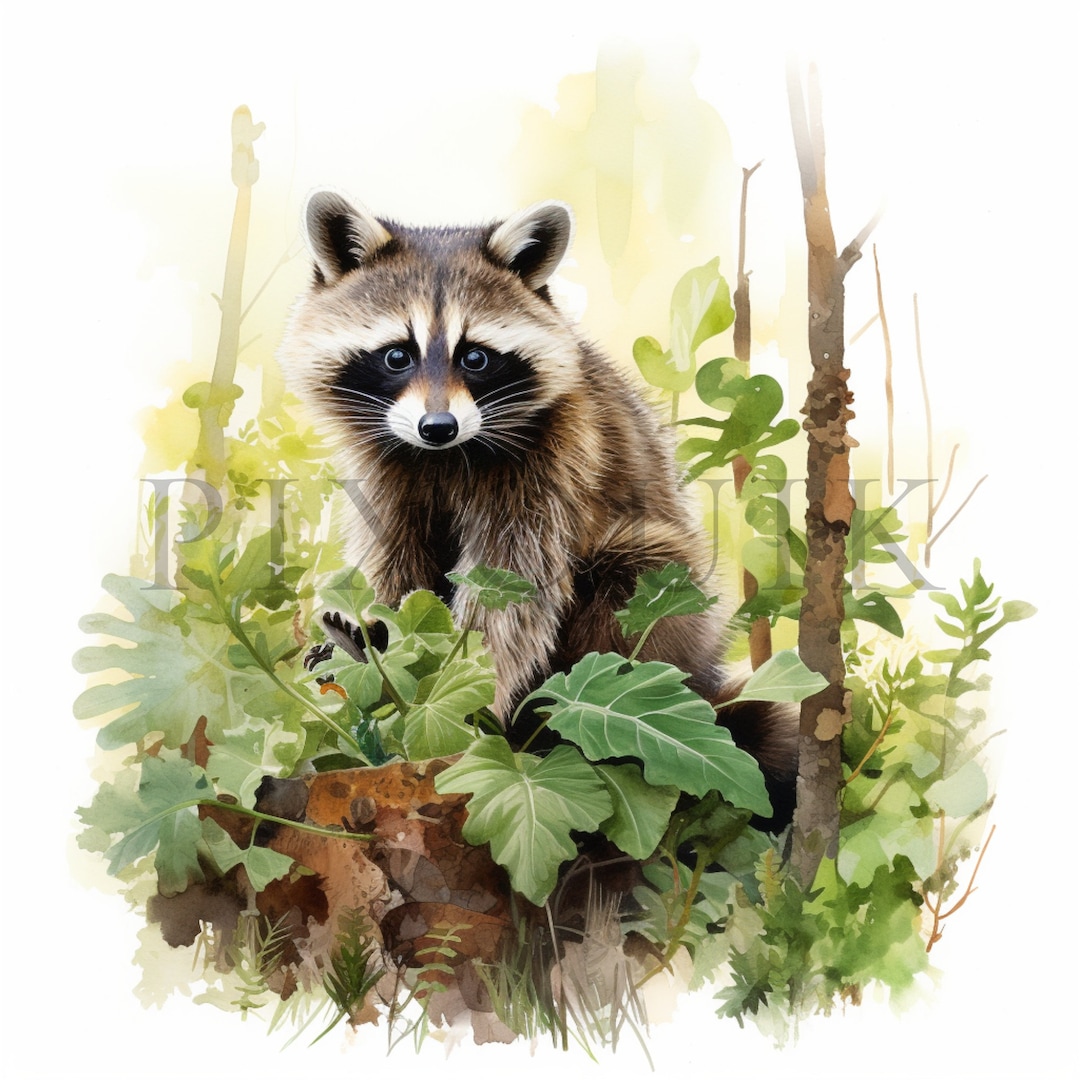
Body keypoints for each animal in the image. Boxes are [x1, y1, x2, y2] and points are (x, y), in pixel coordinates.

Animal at [278, 191, 796, 804]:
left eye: (475, 357)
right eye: (396, 355)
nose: (437, 426)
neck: (442, 457)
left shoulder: (553, 461)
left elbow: (510, 593)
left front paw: (472, 700)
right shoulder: (386, 464)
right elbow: (394, 561)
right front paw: (377, 645)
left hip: (663, 597)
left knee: (641, 569)